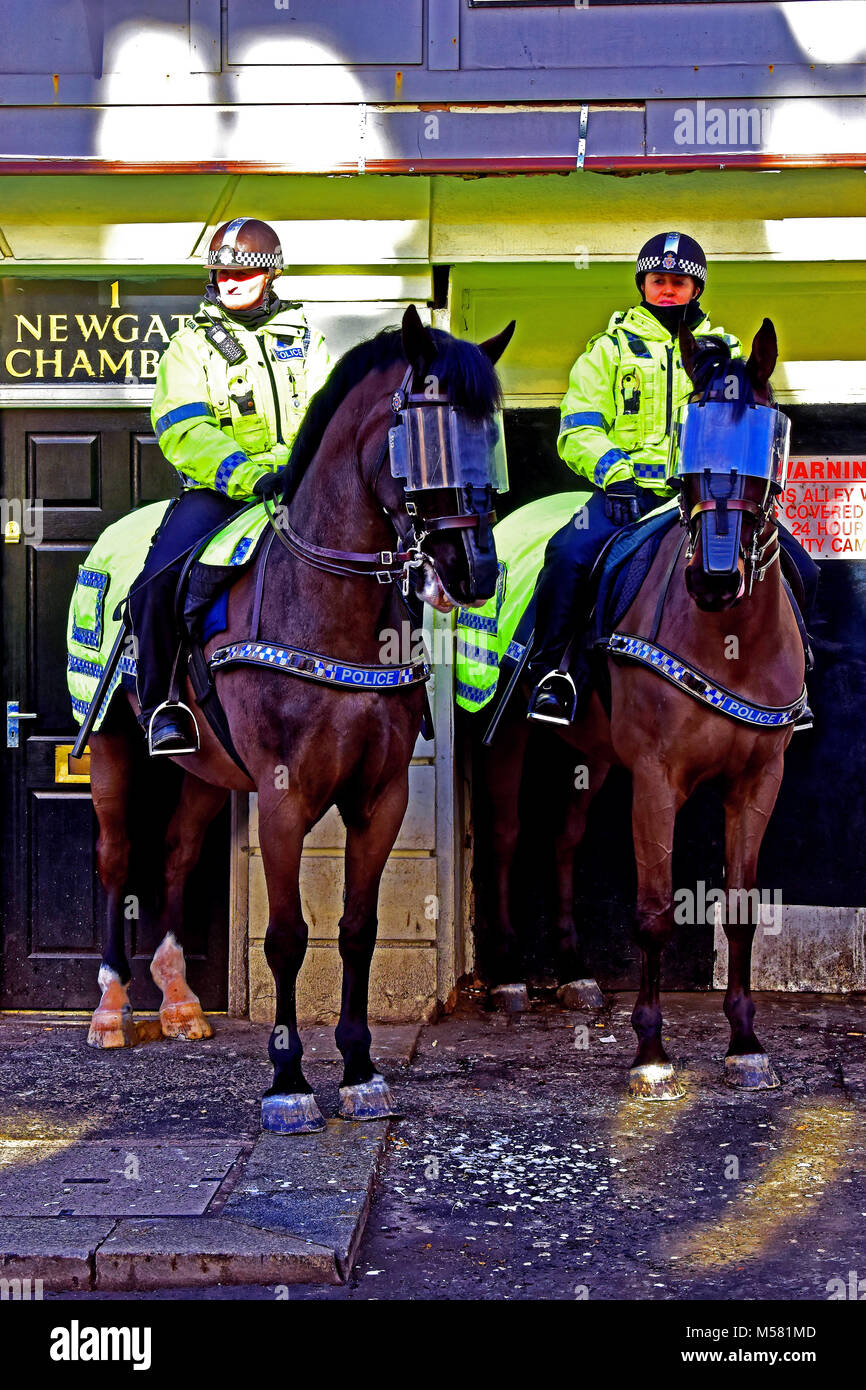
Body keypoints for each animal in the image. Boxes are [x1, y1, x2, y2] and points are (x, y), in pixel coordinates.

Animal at [85, 304, 515, 1132]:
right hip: (113, 751)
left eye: (493, 432)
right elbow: (286, 937)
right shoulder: (284, 797)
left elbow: (357, 931)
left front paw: (360, 1068)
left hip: (205, 771)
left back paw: (180, 1001)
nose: (476, 569)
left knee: (178, 854)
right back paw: (112, 1008)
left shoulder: (381, 796)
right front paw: (287, 1081)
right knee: (118, 858)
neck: (325, 602)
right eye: (425, 431)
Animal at [481, 318, 806, 1099]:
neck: (727, 640)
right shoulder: (657, 779)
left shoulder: (758, 781)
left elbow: (741, 913)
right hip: (506, 740)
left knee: (563, 840)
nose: (715, 577)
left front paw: (745, 1045)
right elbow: (655, 913)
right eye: (693, 428)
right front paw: (651, 1052)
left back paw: (573, 974)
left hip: (591, 756)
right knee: (506, 839)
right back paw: (507, 979)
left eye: (766, 434)